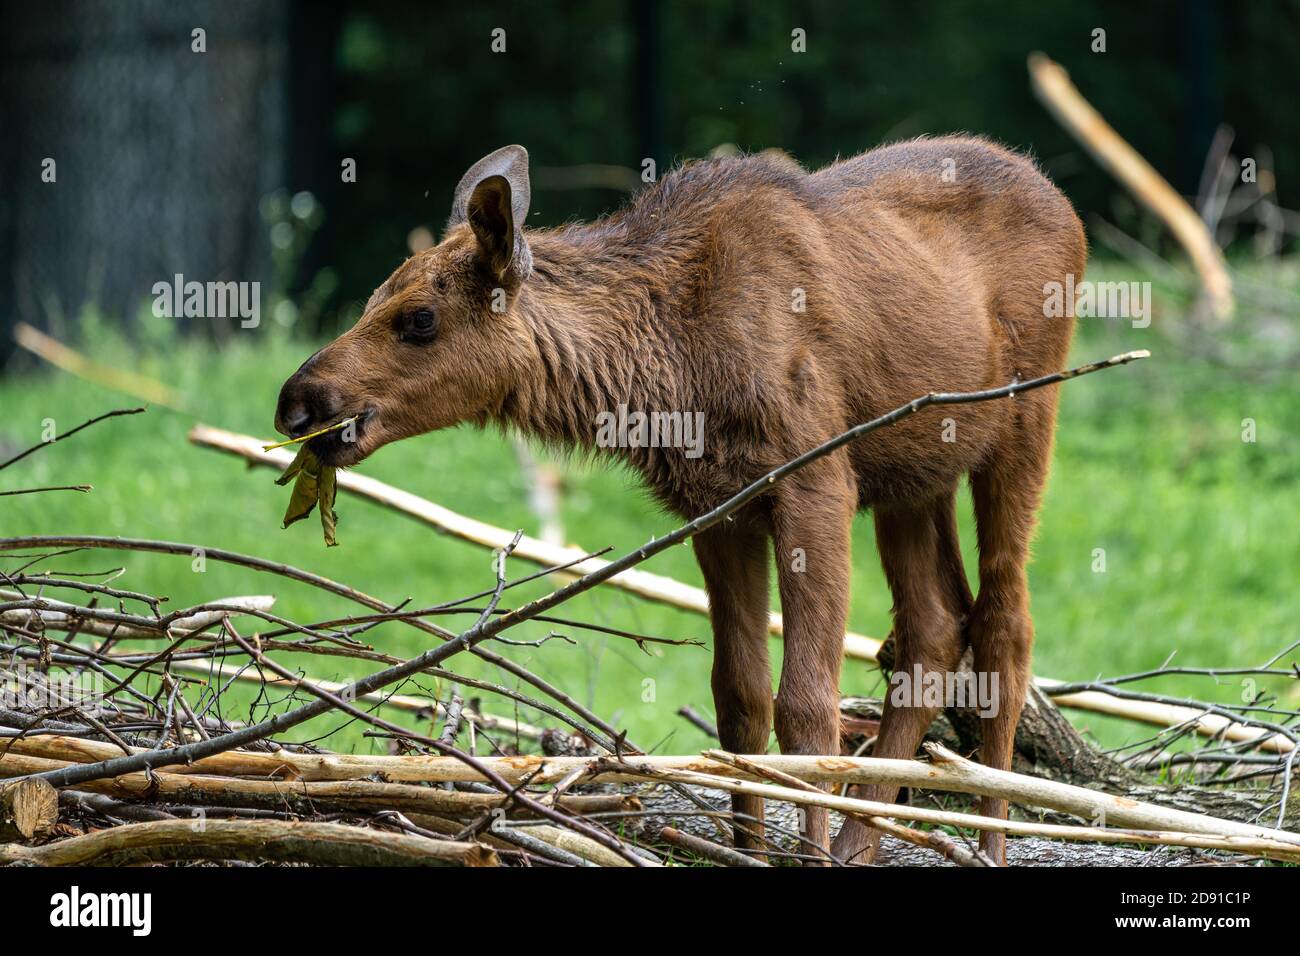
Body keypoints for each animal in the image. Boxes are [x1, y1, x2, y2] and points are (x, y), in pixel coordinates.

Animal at [275, 137, 1083, 865]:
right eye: (373, 298)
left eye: (418, 319)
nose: (297, 401)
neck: (666, 374)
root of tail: (1063, 202)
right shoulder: (719, 508)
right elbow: (740, 700)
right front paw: (750, 848)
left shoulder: (816, 480)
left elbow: (806, 707)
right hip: (918, 473)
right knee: (936, 626)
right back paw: (861, 841)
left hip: (1024, 422)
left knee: (1006, 624)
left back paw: (991, 839)